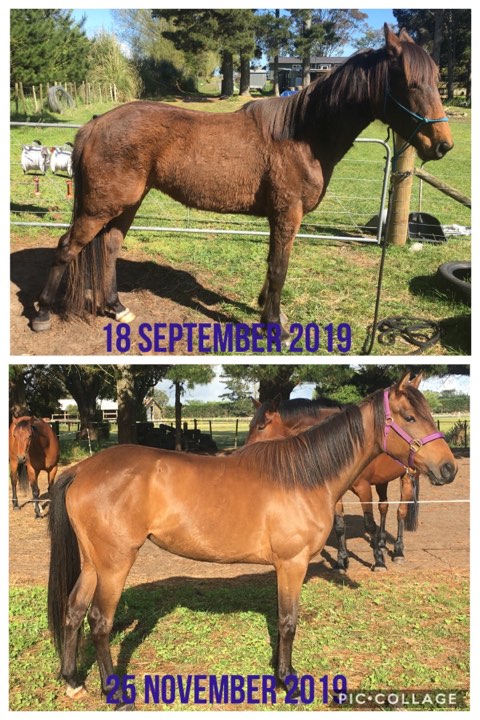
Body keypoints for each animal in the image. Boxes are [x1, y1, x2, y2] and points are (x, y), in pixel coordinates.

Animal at [32, 25, 452, 336]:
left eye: (436, 80)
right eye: (411, 83)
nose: (442, 144)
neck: (303, 135)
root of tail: (94, 125)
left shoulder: (279, 218)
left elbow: (272, 265)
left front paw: (267, 310)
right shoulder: (287, 214)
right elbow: (280, 268)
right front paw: (274, 326)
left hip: (126, 203)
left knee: (108, 248)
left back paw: (117, 308)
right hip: (100, 207)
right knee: (67, 247)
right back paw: (43, 313)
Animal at [247, 395, 423, 571]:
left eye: (261, 427)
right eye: (250, 425)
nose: (246, 452)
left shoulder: (364, 489)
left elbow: (369, 524)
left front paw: (379, 561)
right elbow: (339, 525)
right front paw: (341, 561)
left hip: (407, 477)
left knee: (401, 512)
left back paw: (398, 551)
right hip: (382, 480)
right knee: (383, 507)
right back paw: (381, 543)